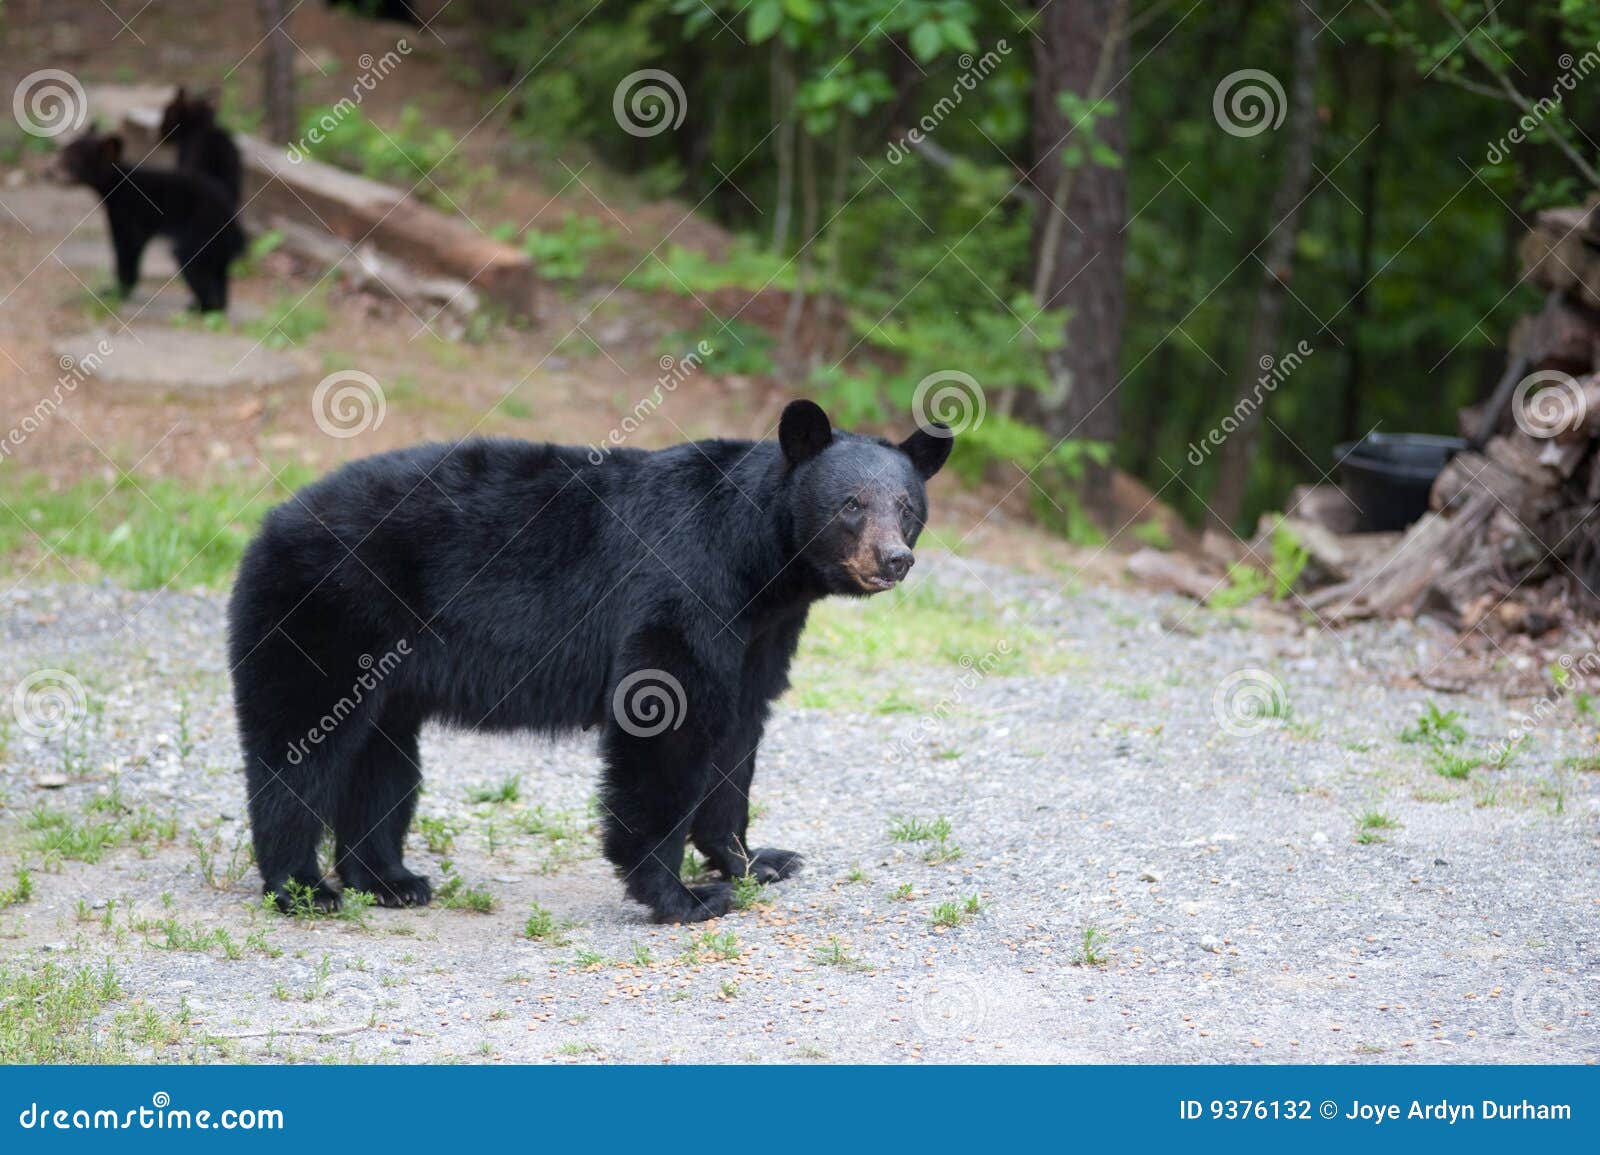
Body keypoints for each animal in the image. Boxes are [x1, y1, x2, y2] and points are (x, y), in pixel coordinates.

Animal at [56, 131, 244, 313]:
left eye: (70, 159)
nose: (51, 171)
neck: (114, 185)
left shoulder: (125, 212)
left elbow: (127, 246)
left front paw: (114, 291)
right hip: (218, 242)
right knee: (218, 270)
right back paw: (213, 305)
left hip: (202, 228)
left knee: (191, 260)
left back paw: (201, 307)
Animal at [228, 400, 951, 923]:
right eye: (850, 504)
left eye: (907, 507)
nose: (895, 559)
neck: (758, 564)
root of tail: (271, 521)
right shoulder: (683, 588)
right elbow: (668, 720)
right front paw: (682, 895)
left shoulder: (763, 633)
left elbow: (739, 734)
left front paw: (754, 860)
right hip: (326, 614)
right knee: (298, 747)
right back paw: (303, 887)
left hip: (387, 674)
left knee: (382, 763)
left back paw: (390, 879)